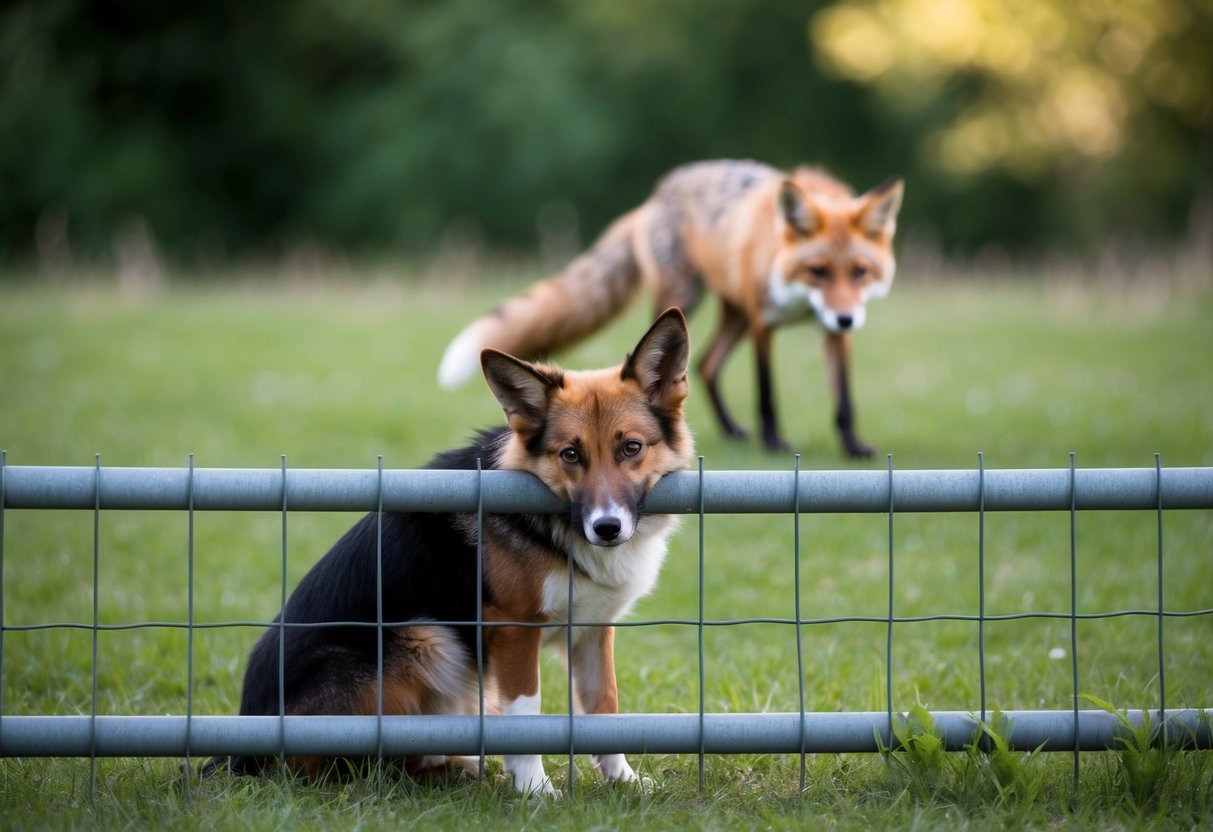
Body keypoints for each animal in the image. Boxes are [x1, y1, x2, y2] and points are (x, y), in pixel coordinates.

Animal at [205, 309, 694, 796]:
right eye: (570, 454)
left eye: (631, 447)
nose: (607, 528)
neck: (557, 526)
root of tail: (241, 750)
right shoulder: (514, 627)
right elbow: (526, 712)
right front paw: (534, 790)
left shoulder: (594, 628)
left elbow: (604, 706)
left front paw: (624, 781)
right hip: (430, 639)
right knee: (356, 768)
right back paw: (454, 770)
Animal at [438, 159, 904, 457]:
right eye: (818, 271)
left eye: (860, 272)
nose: (846, 317)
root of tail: (658, 192)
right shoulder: (762, 323)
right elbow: (767, 394)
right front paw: (774, 444)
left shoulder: (832, 333)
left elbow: (844, 400)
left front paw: (852, 447)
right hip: (689, 300)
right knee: (695, 362)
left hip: (731, 314)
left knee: (707, 364)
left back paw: (731, 431)